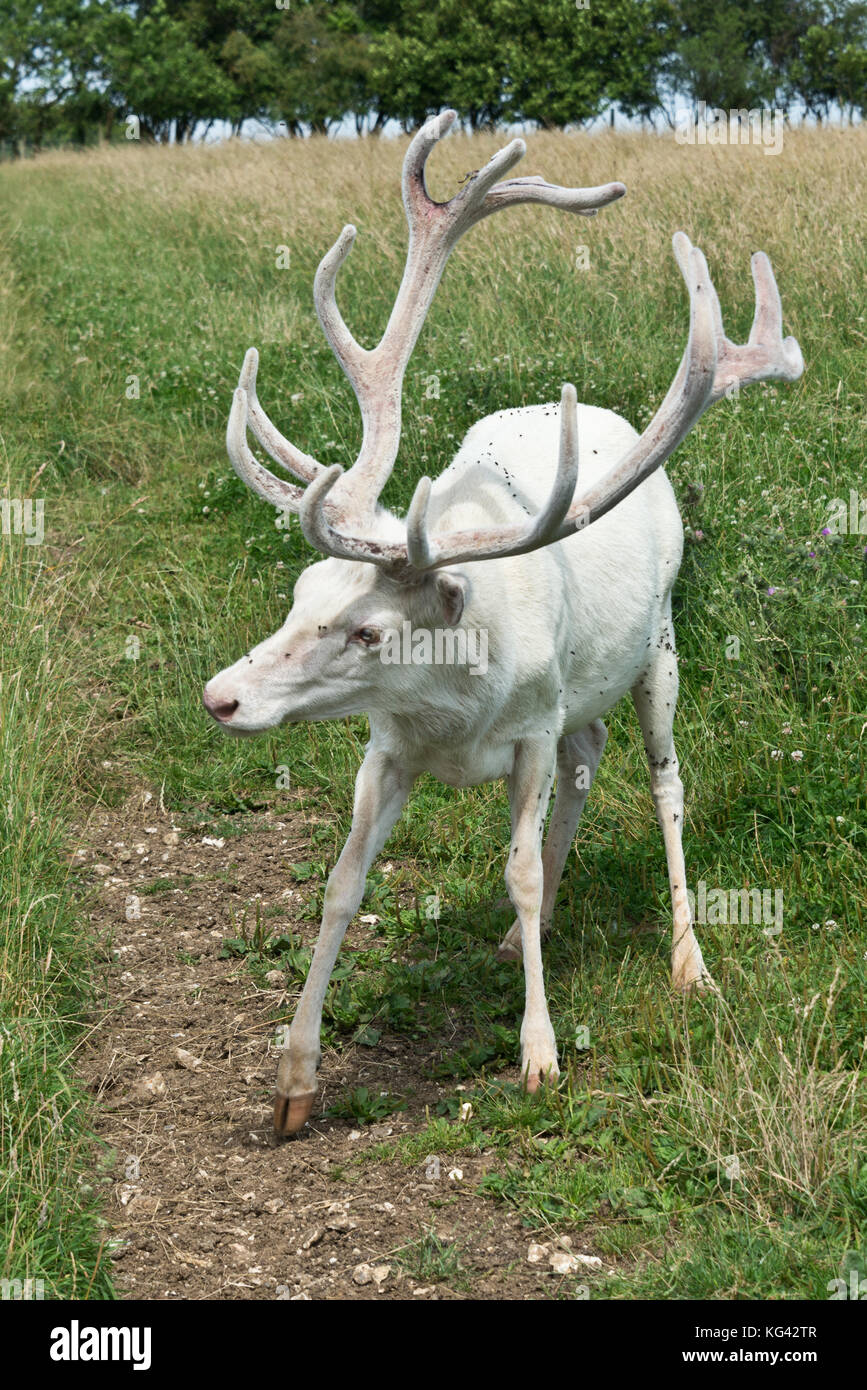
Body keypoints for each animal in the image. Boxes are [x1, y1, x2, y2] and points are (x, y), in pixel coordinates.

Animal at [202, 110, 804, 1135]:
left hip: (659, 649)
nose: (221, 697)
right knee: (585, 766)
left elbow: (516, 871)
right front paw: (292, 1081)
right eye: (301, 591)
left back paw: (687, 959)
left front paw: (540, 1056)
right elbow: (341, 883)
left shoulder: (526, 726)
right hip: (582, 695)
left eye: (367, 632)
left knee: (664, 783)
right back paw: (536, 934)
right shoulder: (387, 744)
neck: (454, 713)